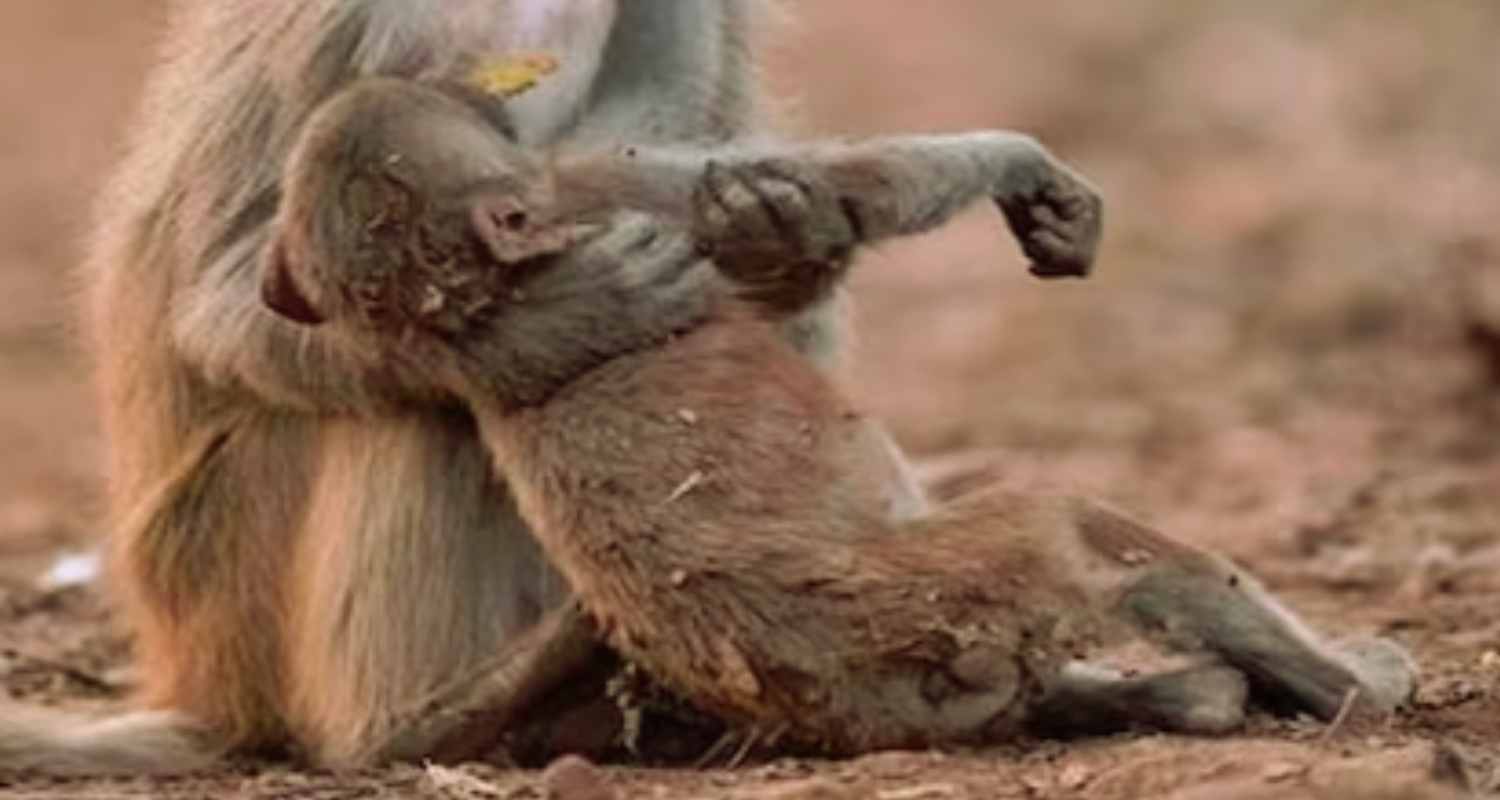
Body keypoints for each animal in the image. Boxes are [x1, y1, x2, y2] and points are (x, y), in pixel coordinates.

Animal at [260, 77, 1415, 757]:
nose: (469, 82)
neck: (478, 305)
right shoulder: (594, 190)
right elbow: (850, 187)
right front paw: (1022, 163)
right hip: (956, 585)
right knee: (1083, 530)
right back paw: (1351, 686)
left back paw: (1199, 695)